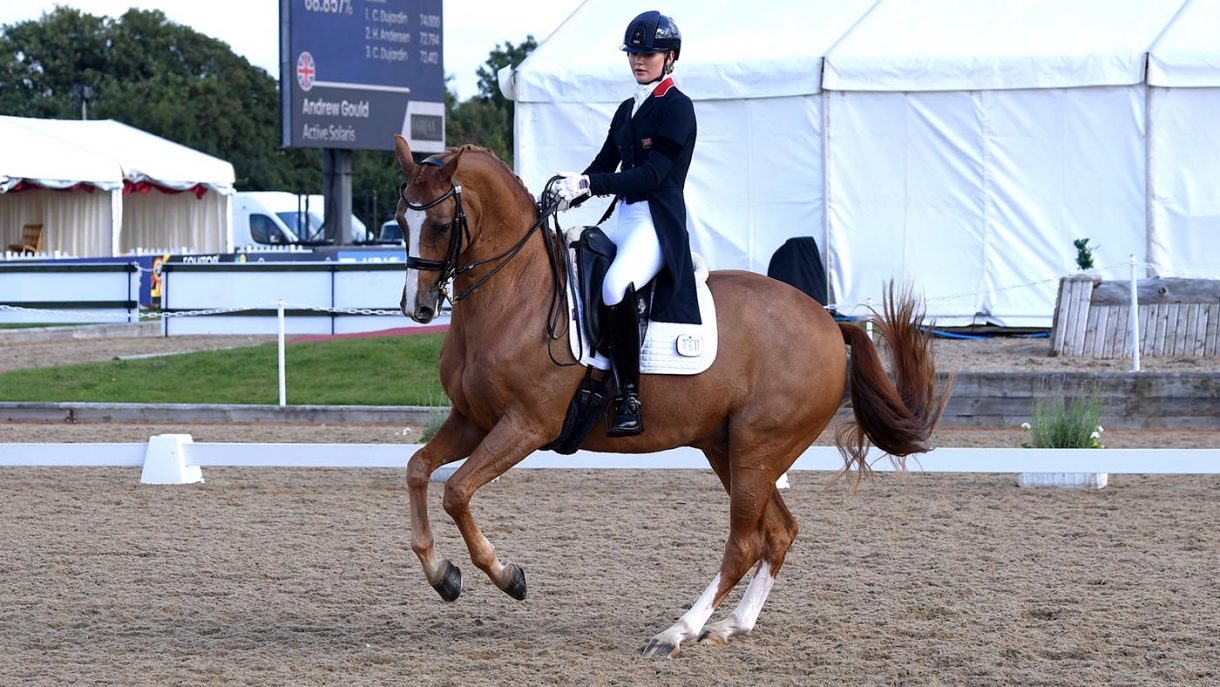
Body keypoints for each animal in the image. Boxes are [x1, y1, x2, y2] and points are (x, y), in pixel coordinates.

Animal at [392, 135, 949, 658]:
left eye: (439, 224)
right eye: (400, 221)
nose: (418, 308)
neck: (515, 293)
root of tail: (831, 324)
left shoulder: (527, 425)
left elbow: (456, 490)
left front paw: (506, 575)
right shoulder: (473, 419)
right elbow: (419, 470)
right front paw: (444, 575)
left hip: (758, 449)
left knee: (744, 542)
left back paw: (677, 631)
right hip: (731, 449)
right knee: (779, 532)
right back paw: (730, 626)